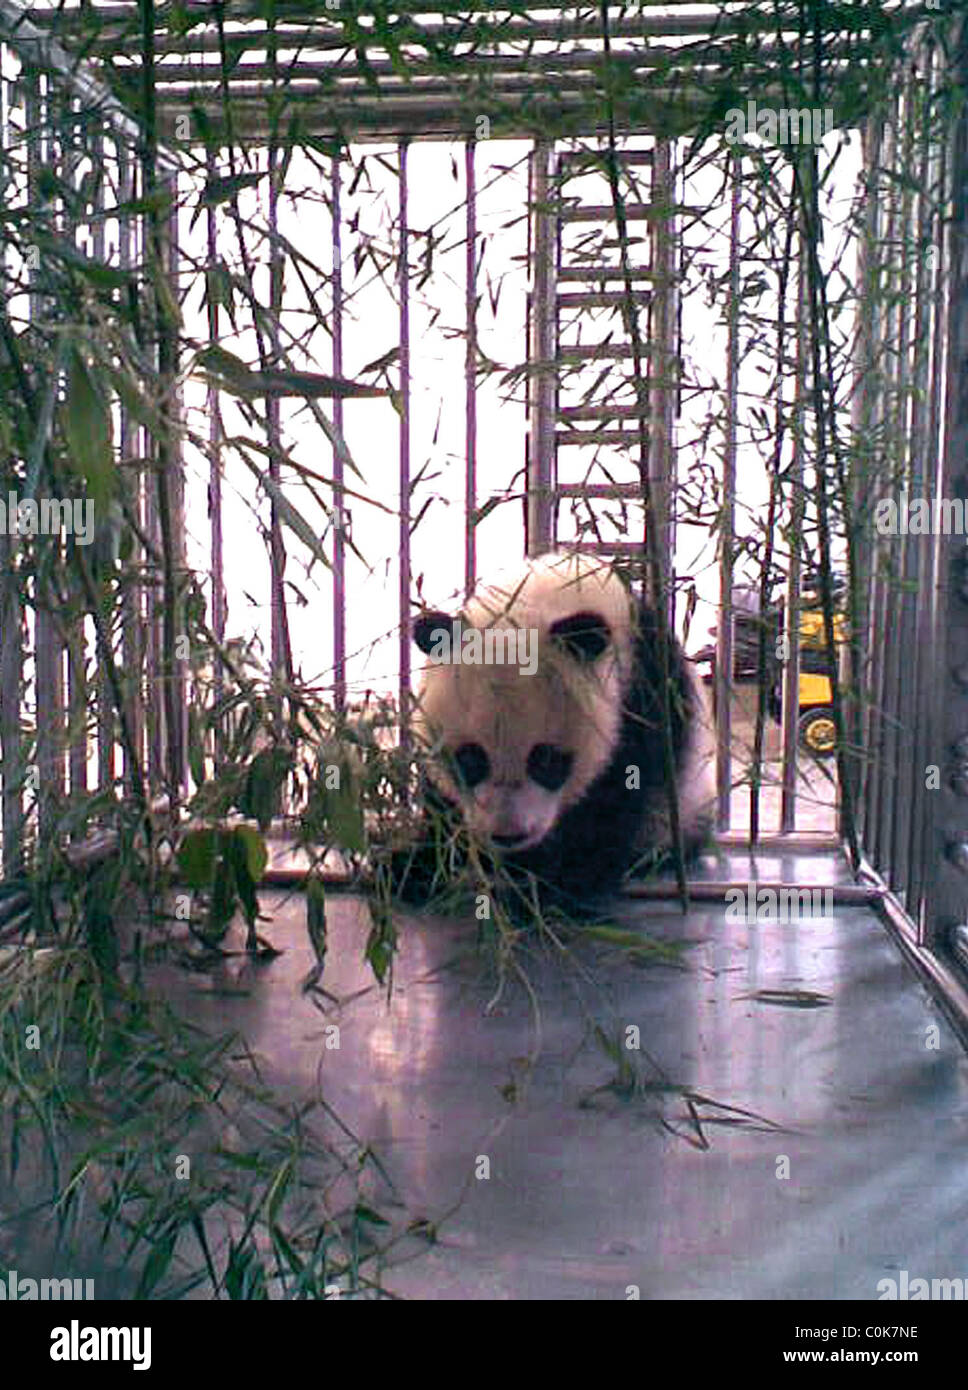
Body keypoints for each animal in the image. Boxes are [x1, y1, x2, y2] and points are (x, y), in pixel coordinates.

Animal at [400, 550, 716, 914]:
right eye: (470, 759)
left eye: (546, 760)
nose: (508, 835)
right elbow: (442, 808)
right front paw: (414, 867)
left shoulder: (641, 701)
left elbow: (613, 803)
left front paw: (555, 894)